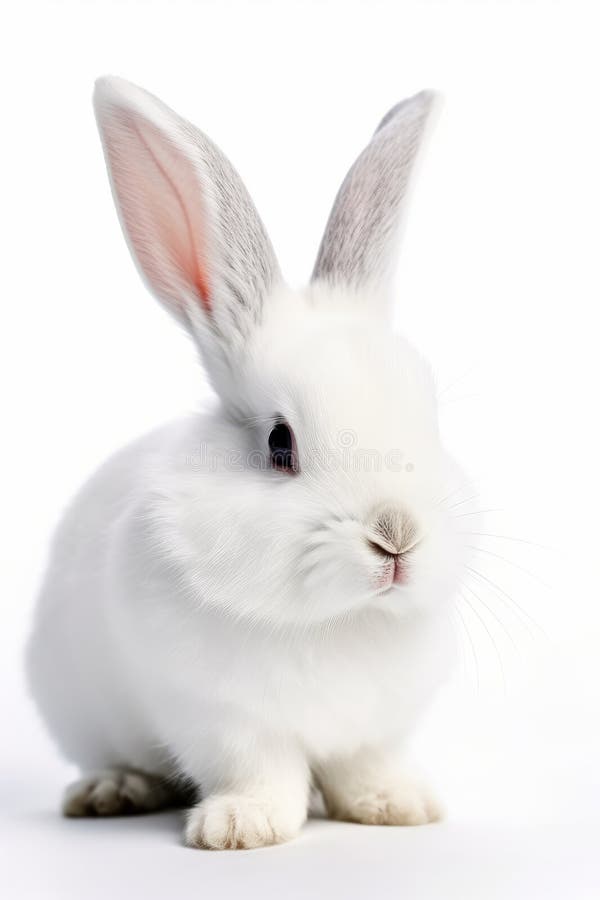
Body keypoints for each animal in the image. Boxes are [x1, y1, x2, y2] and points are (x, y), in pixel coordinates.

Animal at [26, 76, 470, 850]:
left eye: (428, 417)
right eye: (279, 443)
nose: (397, 537)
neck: (338, 620)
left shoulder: (376, 729)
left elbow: (366, 767)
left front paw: (397, 807)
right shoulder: (220, 720)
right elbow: (260, 771)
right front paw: (240, 827)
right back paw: (112, 790)